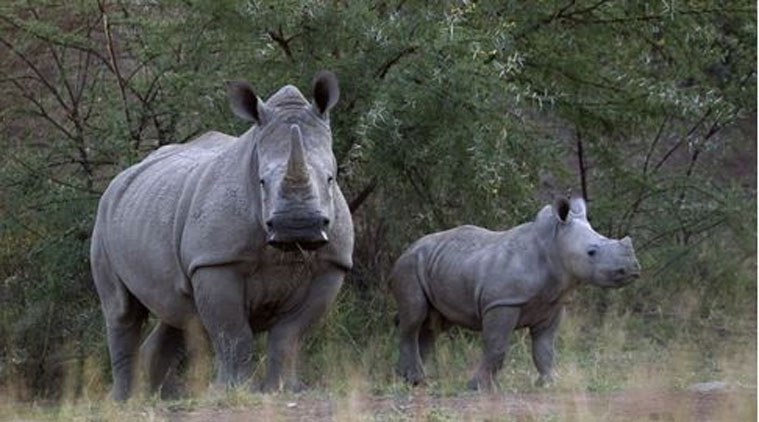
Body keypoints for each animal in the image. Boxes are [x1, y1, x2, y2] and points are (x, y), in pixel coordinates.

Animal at [90, 71, 353, 400]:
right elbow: (233, 332)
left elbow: (289, 335)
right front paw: (231, 391)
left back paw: (166, 397)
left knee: (178, 310)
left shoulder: (331, 266)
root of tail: (122, 177)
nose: (297, 226)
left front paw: (285, 390)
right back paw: (123, 401)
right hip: (104, 217)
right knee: (122, 309)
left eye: (331, 179)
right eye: (261, 182)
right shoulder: (216, 261)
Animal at [391, 197, 640, 390]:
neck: (553, 244)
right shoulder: (503, 302)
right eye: (591, 252)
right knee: (414, 317)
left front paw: (550, 383)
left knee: (433, 325)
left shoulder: (553, 304)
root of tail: (408, 248)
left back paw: (412, 379)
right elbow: (497, 346)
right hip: (409, 266)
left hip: (436, 264)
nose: (633, 269)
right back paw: (417, 380)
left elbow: (545, 349)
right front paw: (478, 387)